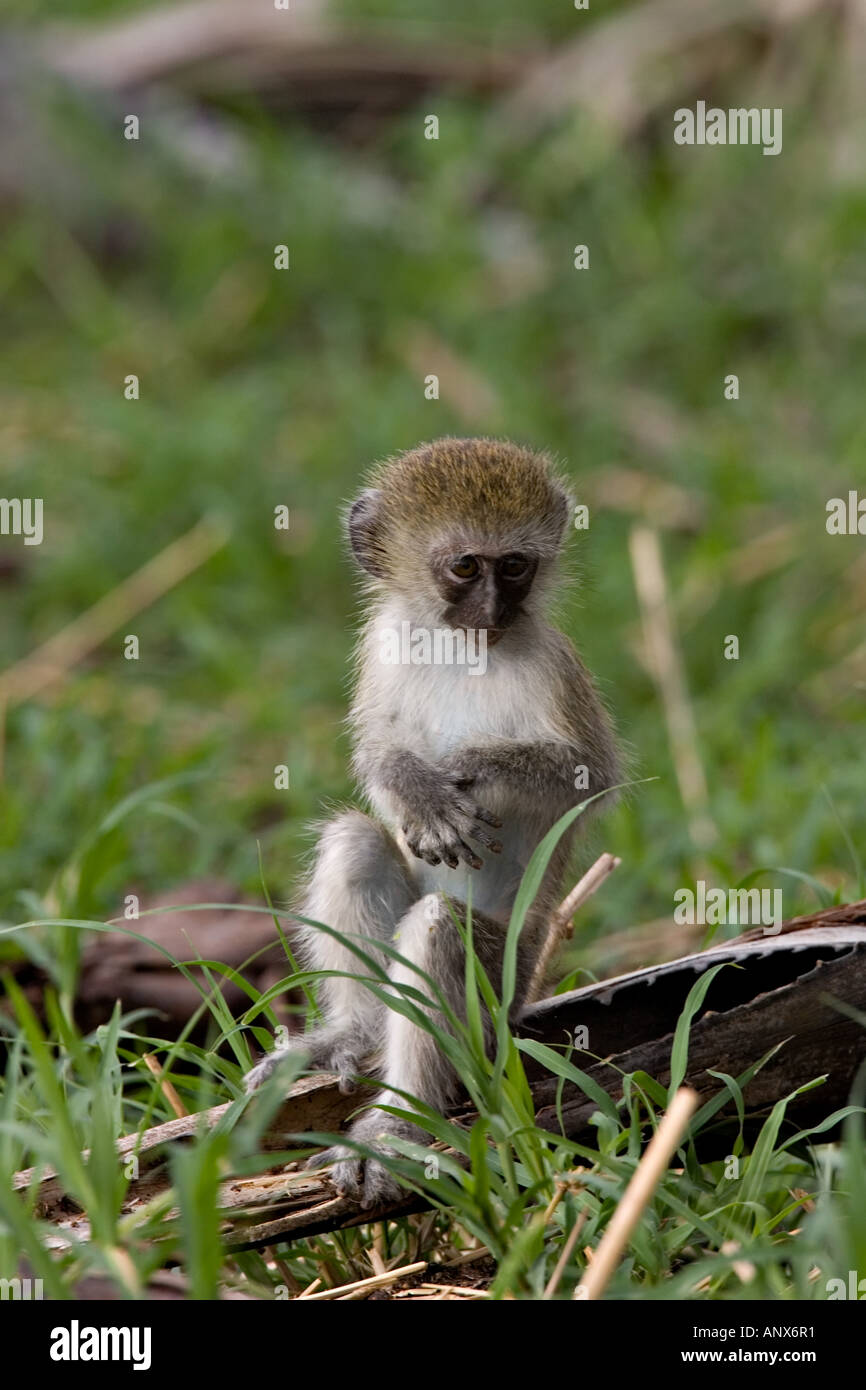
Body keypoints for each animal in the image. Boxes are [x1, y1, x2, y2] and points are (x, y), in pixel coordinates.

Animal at [245, 437, 620, 1206]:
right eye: (465, 567)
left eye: (515, 566)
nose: (493, 609)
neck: (461, 648)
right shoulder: (384, 640)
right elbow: (377, 754)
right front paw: (417, 786)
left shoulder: (553, 664)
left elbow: (588, 776)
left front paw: (467, 766)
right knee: (355, 842)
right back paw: (351, 1035)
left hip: (504, 986)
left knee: (441, 927)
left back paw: (397, 1124)